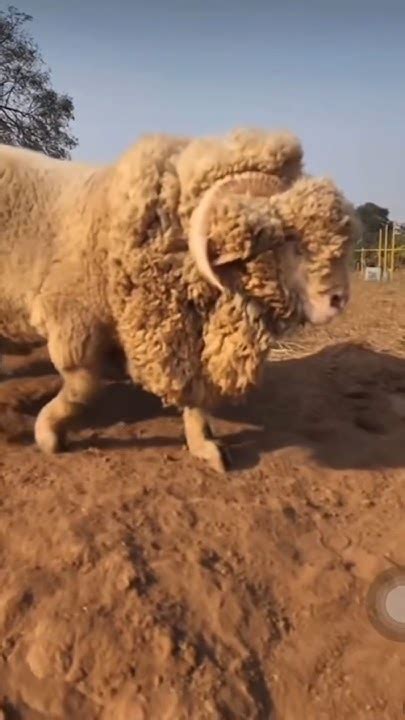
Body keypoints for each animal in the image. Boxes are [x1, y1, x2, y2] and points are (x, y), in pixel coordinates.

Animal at [0, 128, 360, 472]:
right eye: (289, 243)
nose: (339, 299)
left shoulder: (184, 334)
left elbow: (194, 398)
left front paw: (205, 446)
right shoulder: (74, 321)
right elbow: (83, 388)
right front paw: (48, 435)